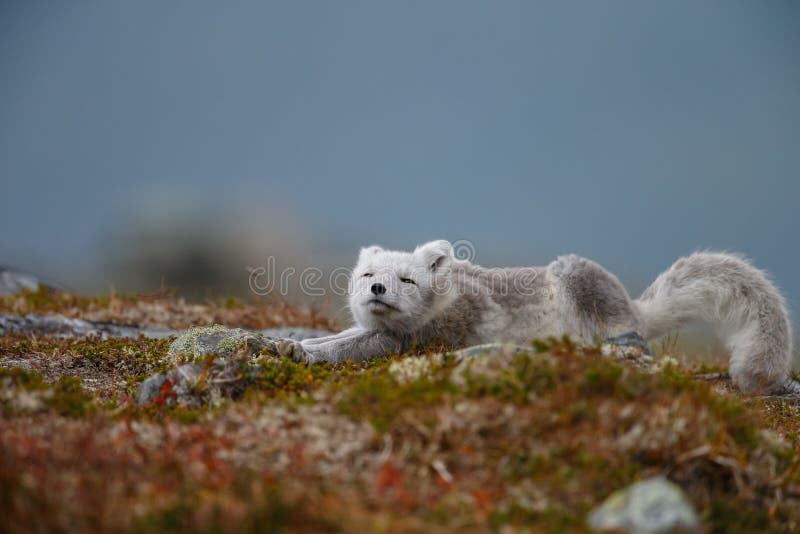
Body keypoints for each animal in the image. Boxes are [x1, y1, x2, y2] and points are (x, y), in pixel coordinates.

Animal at [274, 240, 797, 395]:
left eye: (406, 280)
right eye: (367, 274)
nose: (377, 289)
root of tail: (633, 305)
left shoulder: (404, 343)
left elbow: (348, 347)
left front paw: (301, 352)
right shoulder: (374, 328)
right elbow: (338, 336)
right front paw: (289, 344)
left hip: (577, 279)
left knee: (630, 341)